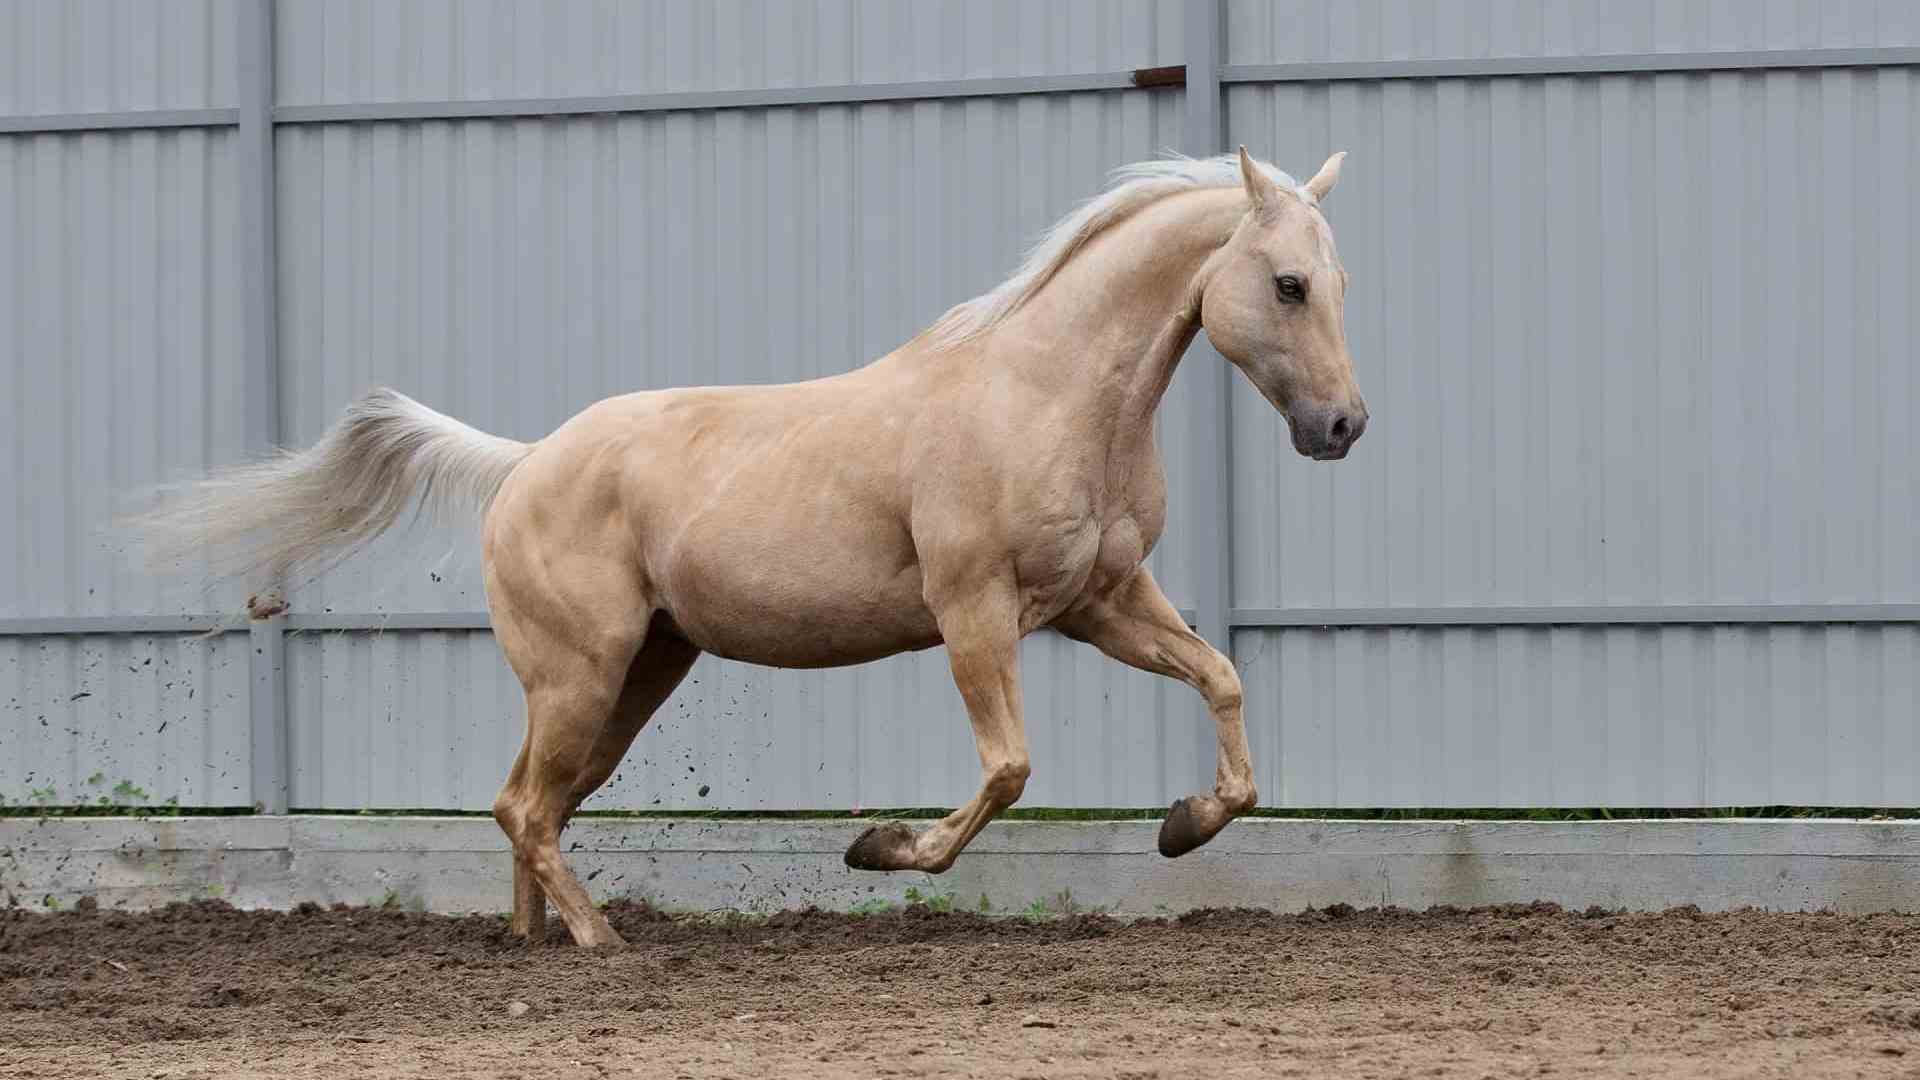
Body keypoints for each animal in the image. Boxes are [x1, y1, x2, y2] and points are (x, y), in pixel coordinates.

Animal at [137, 147, 1366, 947]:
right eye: (1288, 284)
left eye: (1337, 282)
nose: (1343, 427)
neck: (1045, 394)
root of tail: (524, 463)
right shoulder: (975, 614)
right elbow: (1008, 770)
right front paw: (880, 849)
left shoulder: (1101, 601)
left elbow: (1221, 679)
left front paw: (1183, 828)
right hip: (584, 674)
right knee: (529, 807)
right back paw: (604, 944)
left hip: (634, 672)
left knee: (526, 802)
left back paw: (532, 942)